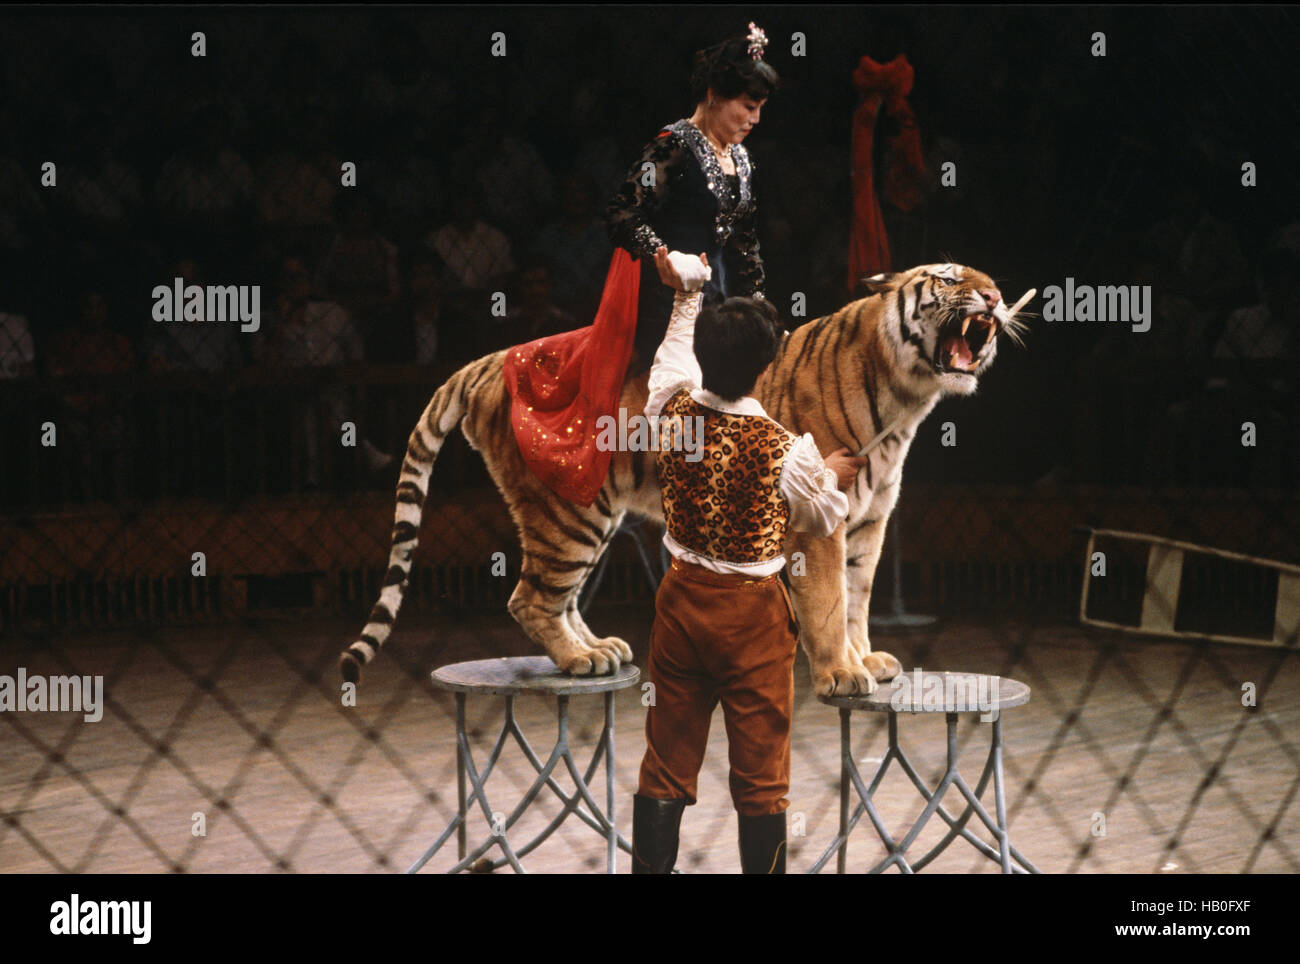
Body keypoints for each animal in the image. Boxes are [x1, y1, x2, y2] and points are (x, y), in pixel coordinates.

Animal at [339, 263, 1026, 696]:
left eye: (984, 282)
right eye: (949, 278)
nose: (996, 297)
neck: (908, 397)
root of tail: (487, 361)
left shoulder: (868, 522)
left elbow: (856, 600)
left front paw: (866, 659)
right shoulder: (817, 522)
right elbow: (830, 604)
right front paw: (840, 673)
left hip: (590, 513)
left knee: (558, 596)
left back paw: (598, 650)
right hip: (567, 513)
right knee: (530, 597)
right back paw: (578, 660)